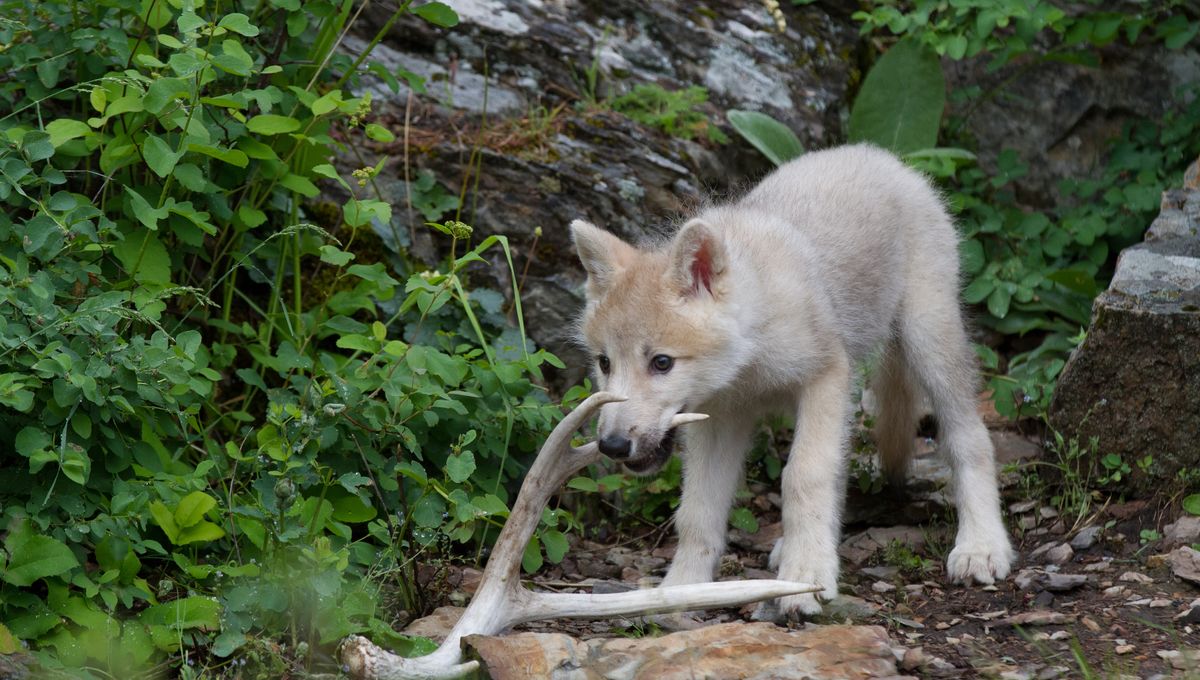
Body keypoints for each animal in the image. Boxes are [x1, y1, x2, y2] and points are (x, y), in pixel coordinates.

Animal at [570, 143, 1014, 619]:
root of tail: (880, 155)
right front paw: (681, 590)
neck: (752, 349)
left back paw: (981, 546)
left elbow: (803, 475)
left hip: (928, 339)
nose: (612, 446)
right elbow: (697, 509)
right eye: (605, 363)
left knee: (970, 438)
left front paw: (804, 581)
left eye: (662, 362)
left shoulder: (827, 377)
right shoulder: (719, 417)